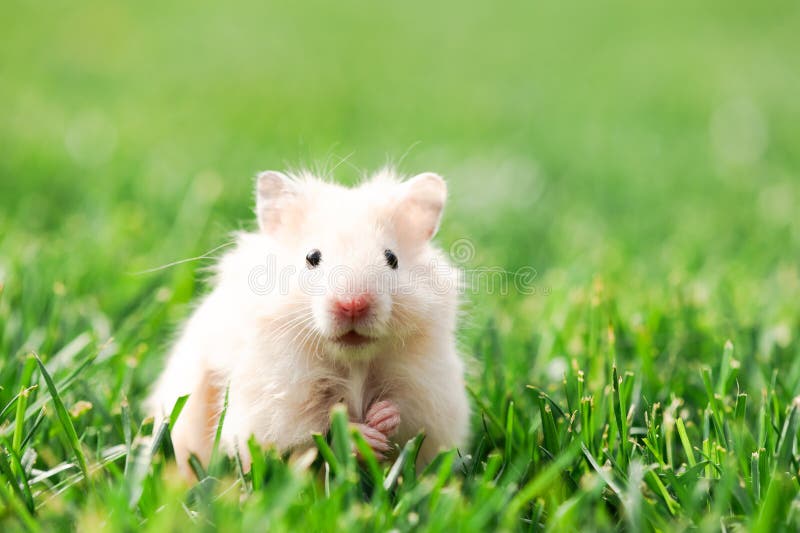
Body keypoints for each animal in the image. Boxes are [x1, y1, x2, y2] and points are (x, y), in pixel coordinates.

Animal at [147, 168, 470, 476]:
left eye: (392, 258)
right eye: (312, 257)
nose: (353, 304)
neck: (353, 360)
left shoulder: (430, 394)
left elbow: (407, 416)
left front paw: (383, 417)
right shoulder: (278, 404)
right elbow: (315, 428)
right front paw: (363, 437)